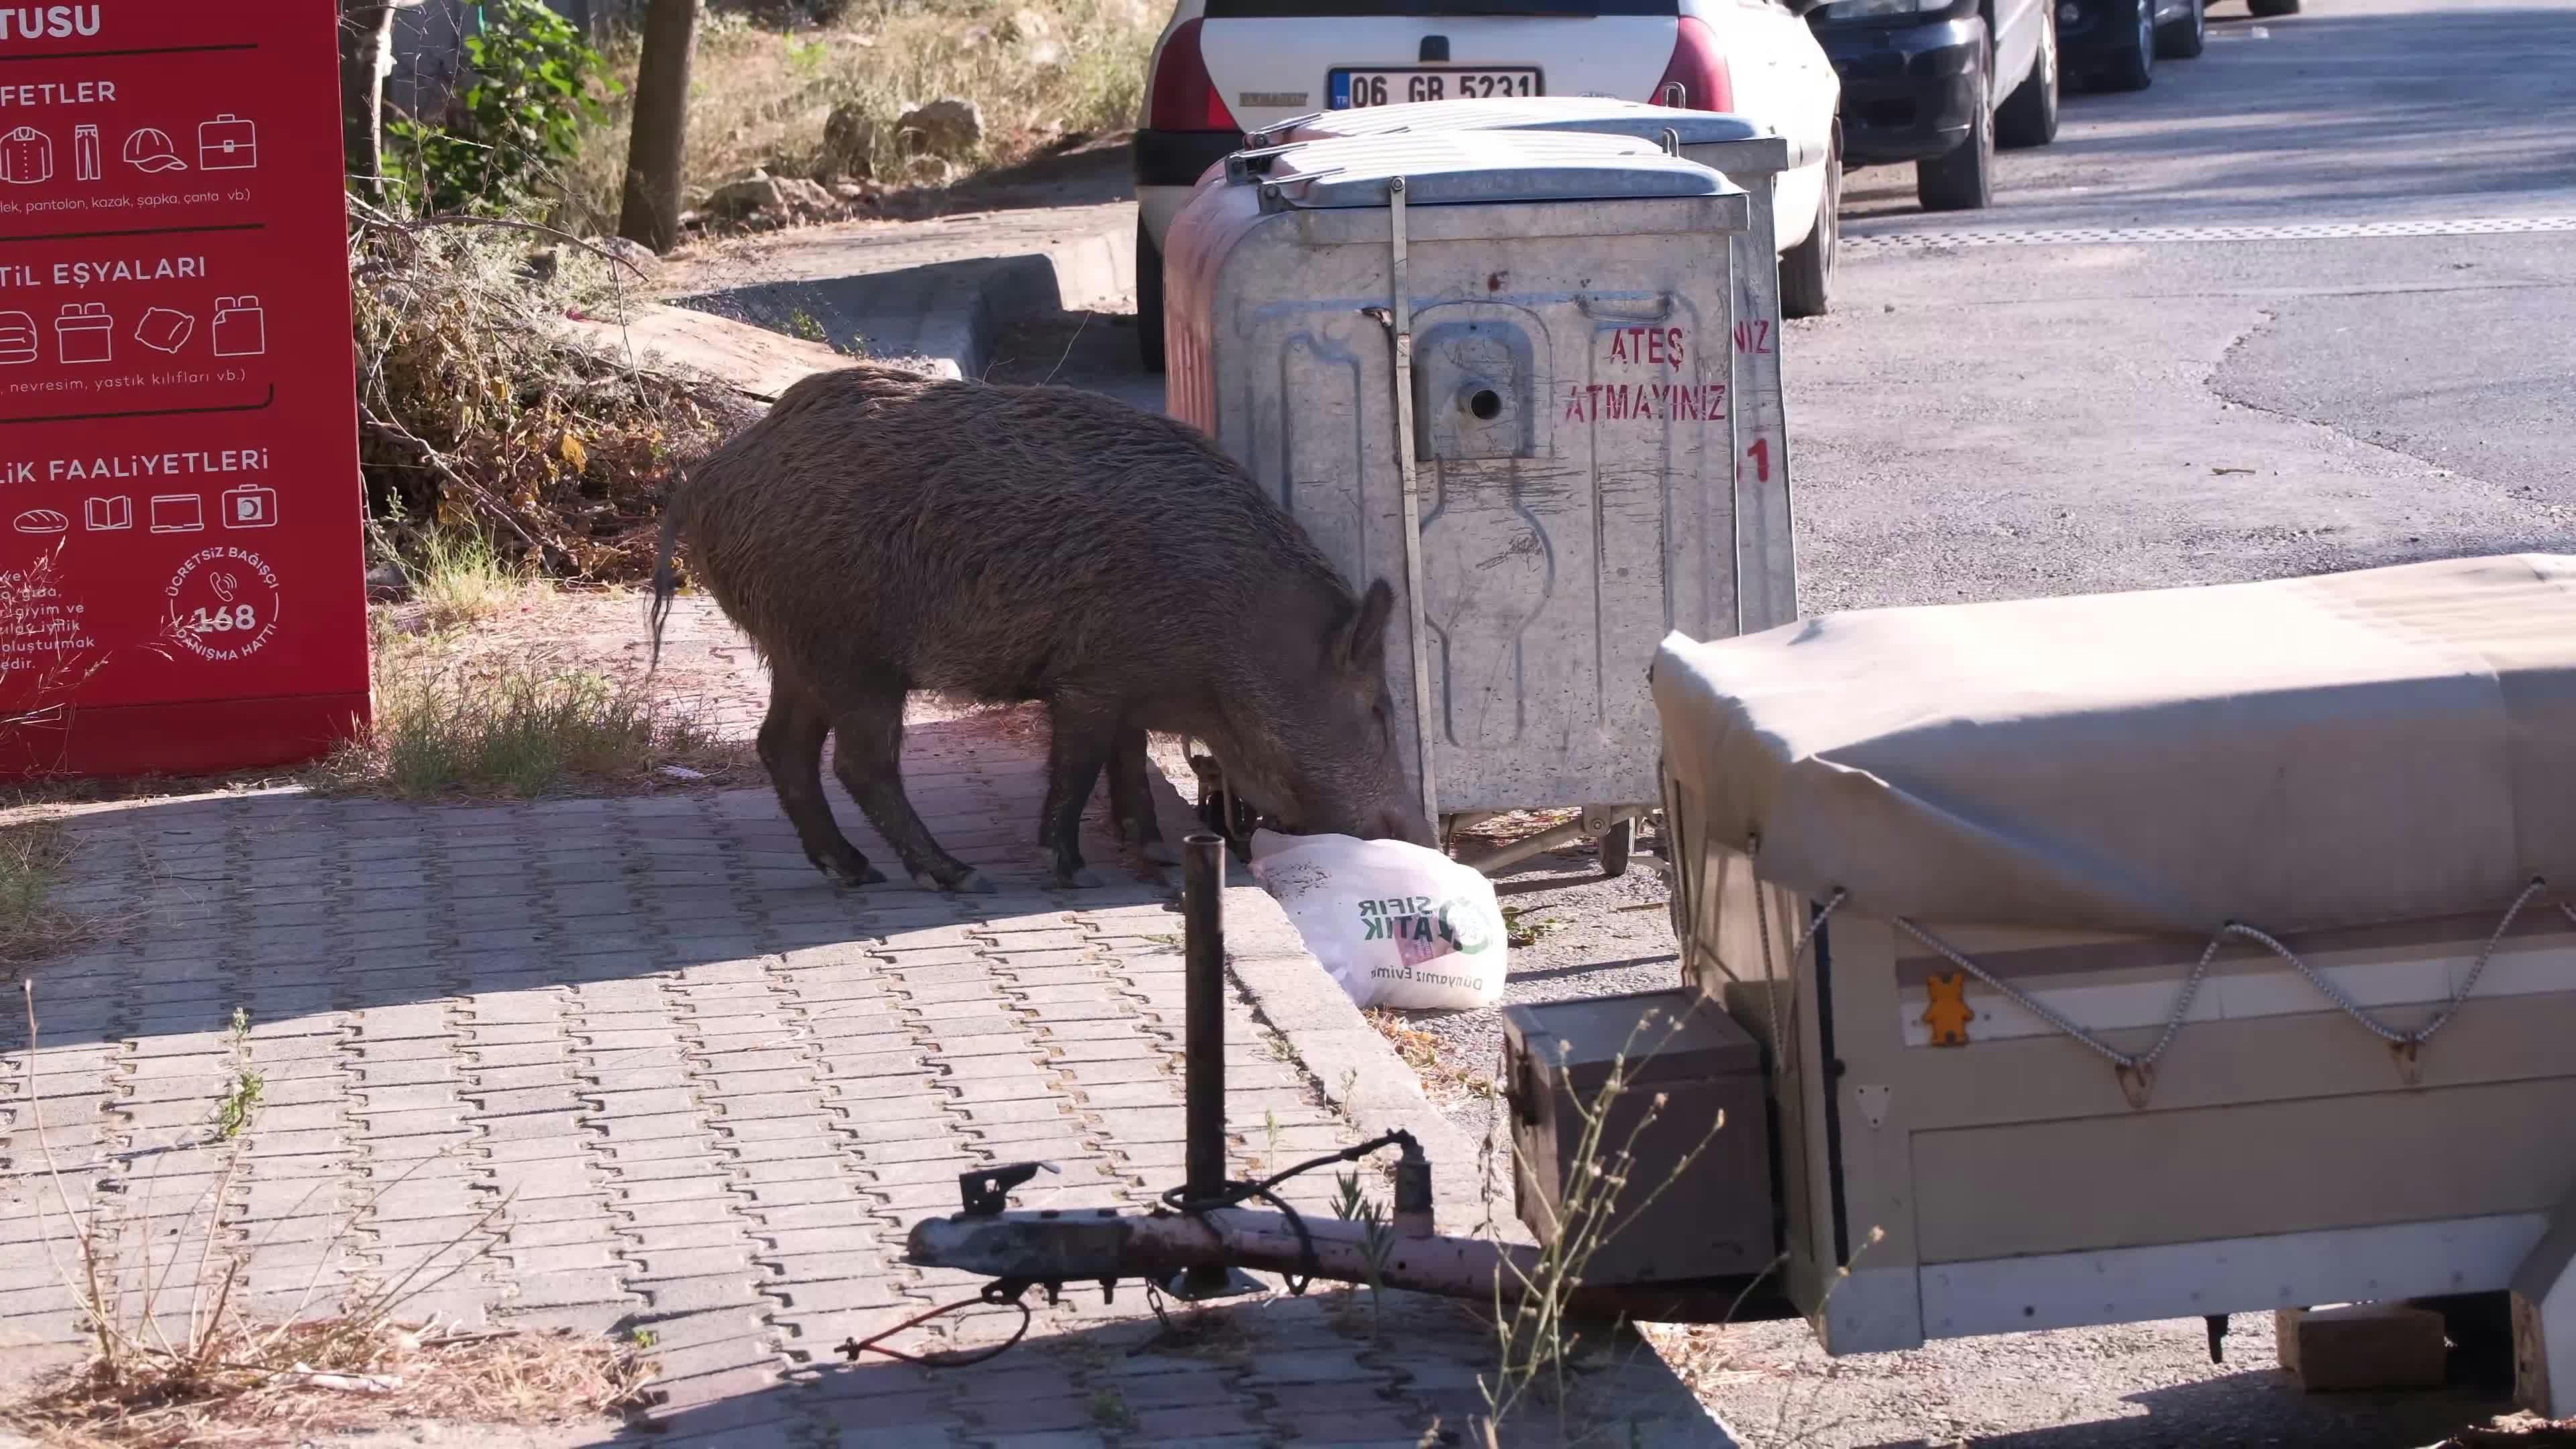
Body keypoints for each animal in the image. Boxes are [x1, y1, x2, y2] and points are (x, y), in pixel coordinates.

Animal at [652, 364, 1434, 892]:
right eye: (1379, 709)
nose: (1425, 837)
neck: (1232, 631)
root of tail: (707, 478)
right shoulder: (1089, 679)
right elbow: (1079, 764)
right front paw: (1068, 871)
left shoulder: (1125, 688)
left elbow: (1127, 762)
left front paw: (1152, 850)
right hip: (852, 658)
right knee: (859, 764)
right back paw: (956, 875)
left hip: (798, 654)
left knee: (781, 747)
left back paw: (854, 872)